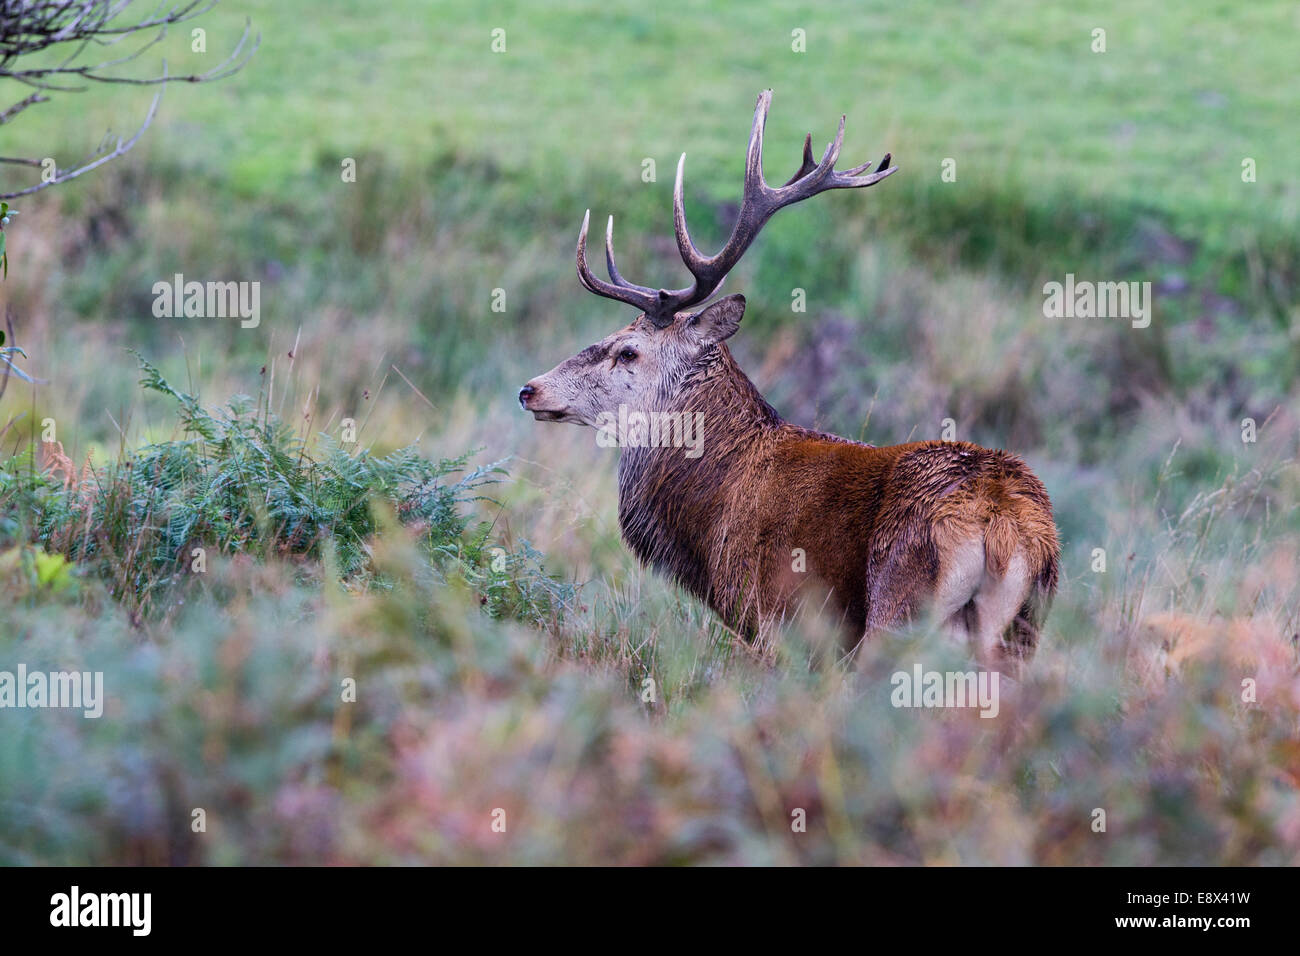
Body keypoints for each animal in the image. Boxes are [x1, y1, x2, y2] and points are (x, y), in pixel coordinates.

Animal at [519, 91, 1060, 669]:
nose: (530, 389)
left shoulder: (771, 618)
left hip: (898, 604)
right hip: (1023, 629)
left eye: (627, 351)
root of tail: (1000, 520)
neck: (710, 516)